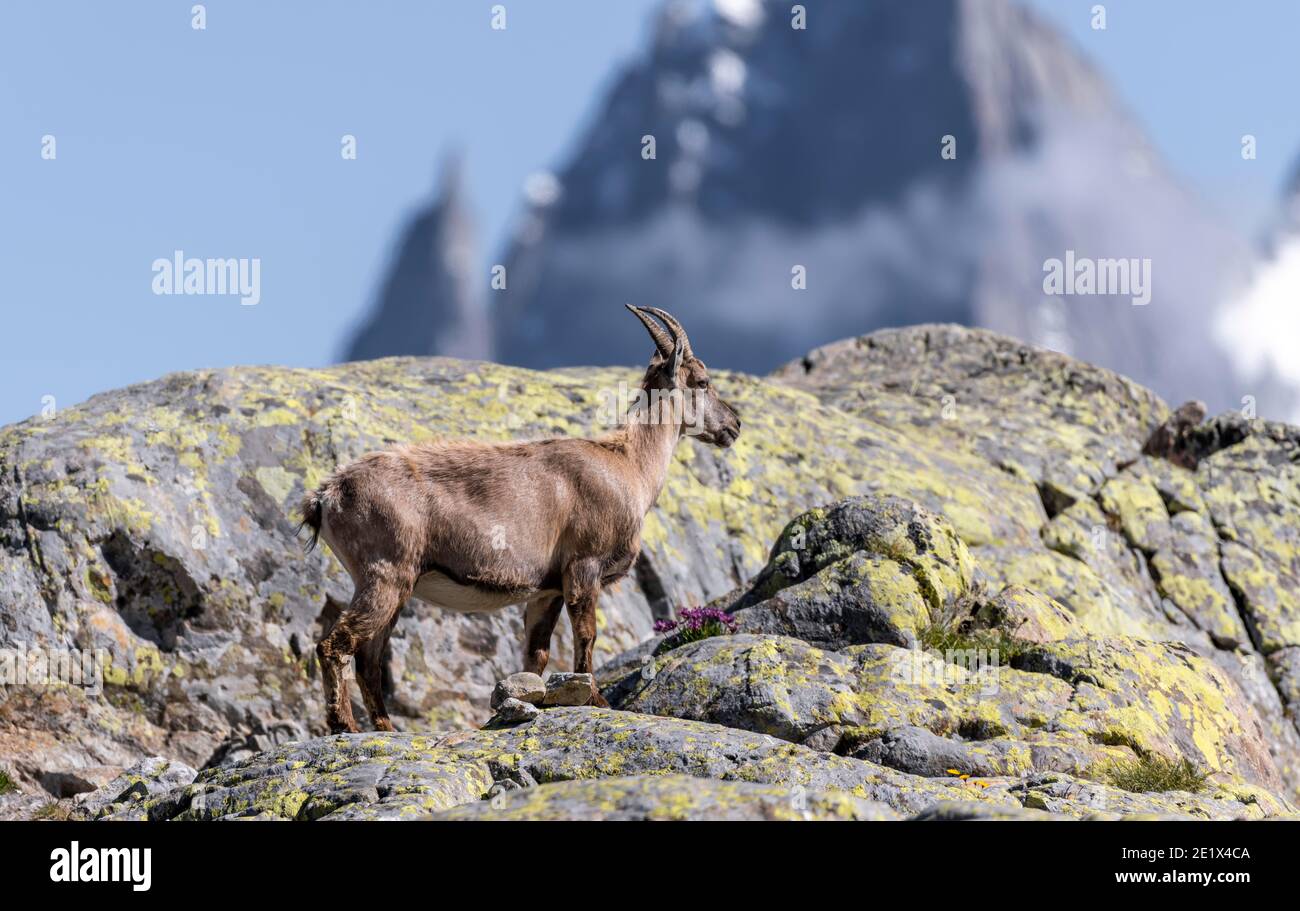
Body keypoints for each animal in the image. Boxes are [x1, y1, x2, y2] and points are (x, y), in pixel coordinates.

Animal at [298, 306, 742, 732]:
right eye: (702, 380)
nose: (734, 425)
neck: (629, 465)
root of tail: (326, 495)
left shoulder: (547, 591)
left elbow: (537, 655)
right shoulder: (584, 567)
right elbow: (587, 636)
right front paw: (598, 701)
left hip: (392, 584)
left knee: (369, 658)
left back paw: (386, 727)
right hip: (385, 574)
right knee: (336, 645)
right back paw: (344, 725)